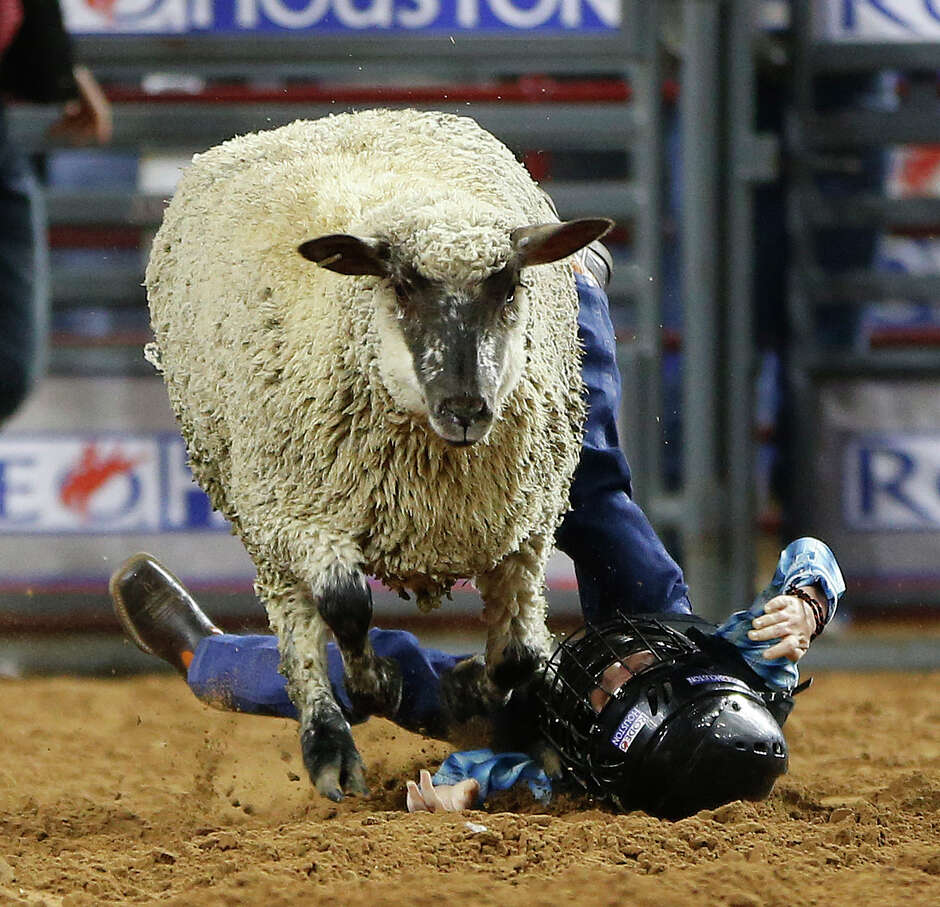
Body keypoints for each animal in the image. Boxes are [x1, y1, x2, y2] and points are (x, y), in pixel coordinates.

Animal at [145, 108, 612, 800]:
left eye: (508, 286)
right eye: (403, 285)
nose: (467, 408)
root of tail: (321, 120)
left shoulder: (523, 524)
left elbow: (520, 654)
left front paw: (481, 697)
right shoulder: (296, 516)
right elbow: (347, 604)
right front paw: (383, 687)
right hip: (257, 510)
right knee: (299, 623)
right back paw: (328, 743)